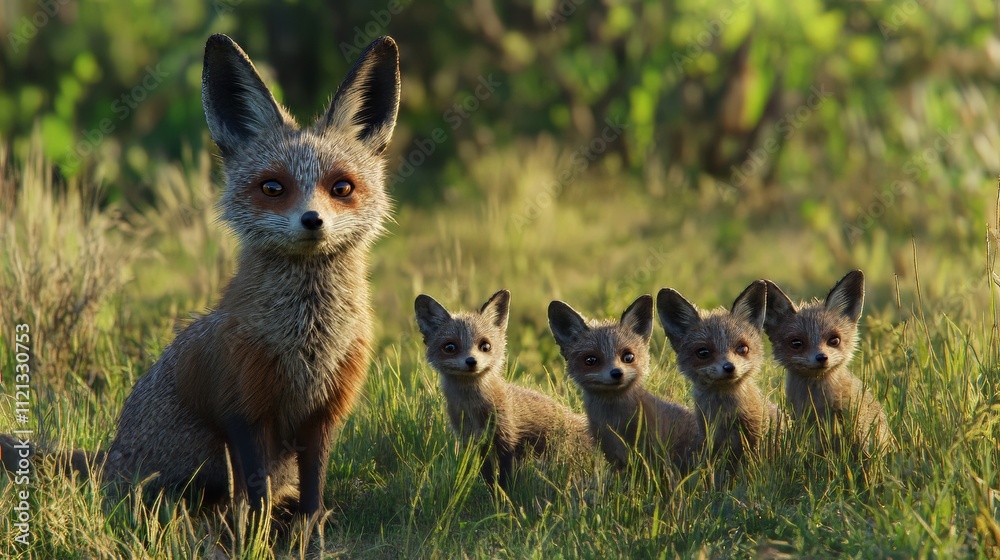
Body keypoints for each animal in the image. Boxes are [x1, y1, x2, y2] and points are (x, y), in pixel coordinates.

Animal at [96, 34, 401, 517]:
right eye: (273, 188)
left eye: (342, 188)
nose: (312, 220)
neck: (307, 344)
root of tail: (107, 461)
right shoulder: (244, 408)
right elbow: (255, 496)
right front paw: (258, 529)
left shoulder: (326, 412)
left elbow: (313, 495)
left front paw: (311, 527)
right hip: (191, 472)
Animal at [415, 290, 592, 490]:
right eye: (450, 347)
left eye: (485, 346)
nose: (471, 361)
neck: (473, 410)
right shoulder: (475, 444)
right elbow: (490, 481)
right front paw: (495, 495)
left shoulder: (507, 439)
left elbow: (506, 480)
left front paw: (506, 496)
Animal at [656, 281, 779, 464]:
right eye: (703, 353)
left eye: (742, 348)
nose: (729, 367)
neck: (726, 417)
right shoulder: (710, 443)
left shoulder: (757, 438)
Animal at [762, 270, 893, 457]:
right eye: (796, 343)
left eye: (834, 340)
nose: (822, 357)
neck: (819, 402)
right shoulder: (802, 422)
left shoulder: (853, 420)